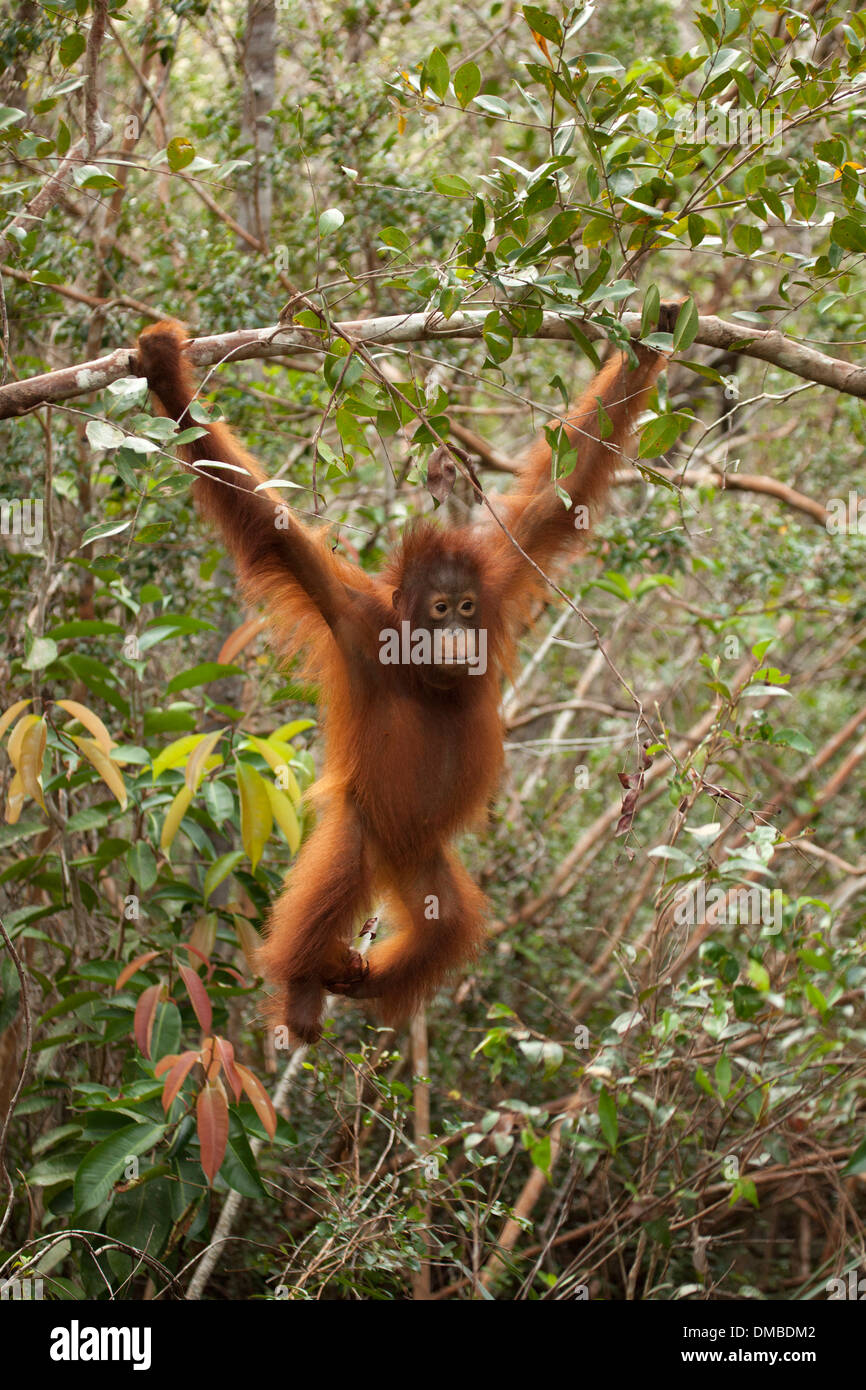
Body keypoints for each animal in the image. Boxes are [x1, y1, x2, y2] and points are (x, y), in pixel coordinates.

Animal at [136, 310, 673, 1042]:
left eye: (467, 609)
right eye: (438, 609)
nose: (455, 632)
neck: (426, 676)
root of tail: (394, 857)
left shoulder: (502, 578)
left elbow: (562, 492)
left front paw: (651, 336)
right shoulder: (354, 620)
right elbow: (274, 531)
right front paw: (168, 375)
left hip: (424, 857)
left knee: (446, 924)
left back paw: (361, 981)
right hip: (361, 829)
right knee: (331, 889)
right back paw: (303, 992)